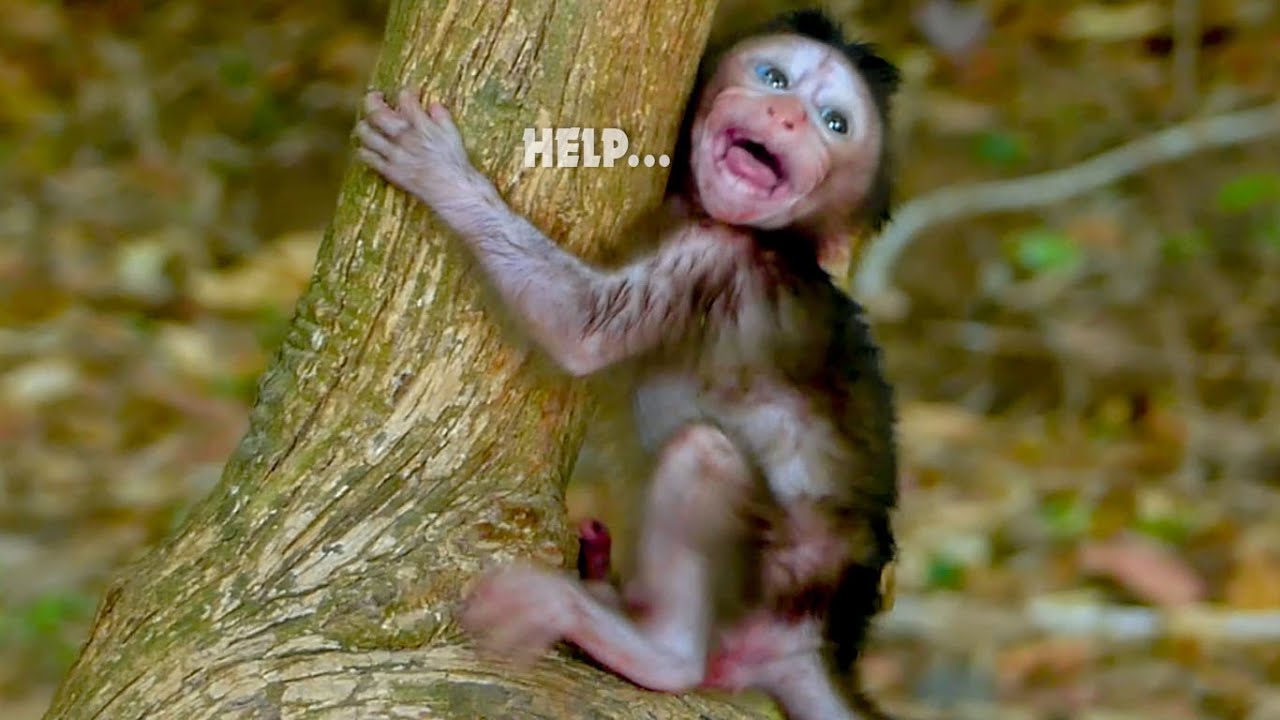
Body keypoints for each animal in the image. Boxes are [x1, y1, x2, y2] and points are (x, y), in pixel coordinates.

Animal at [354, 9, 901, 720]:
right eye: (774, 77)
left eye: (834, 122)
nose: (785, 117)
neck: (772, 237)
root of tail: (809, 638)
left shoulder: (715, 258)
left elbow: (583, 329)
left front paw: (444, 176)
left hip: (764, 585)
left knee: (704, 456)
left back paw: (656, 650)